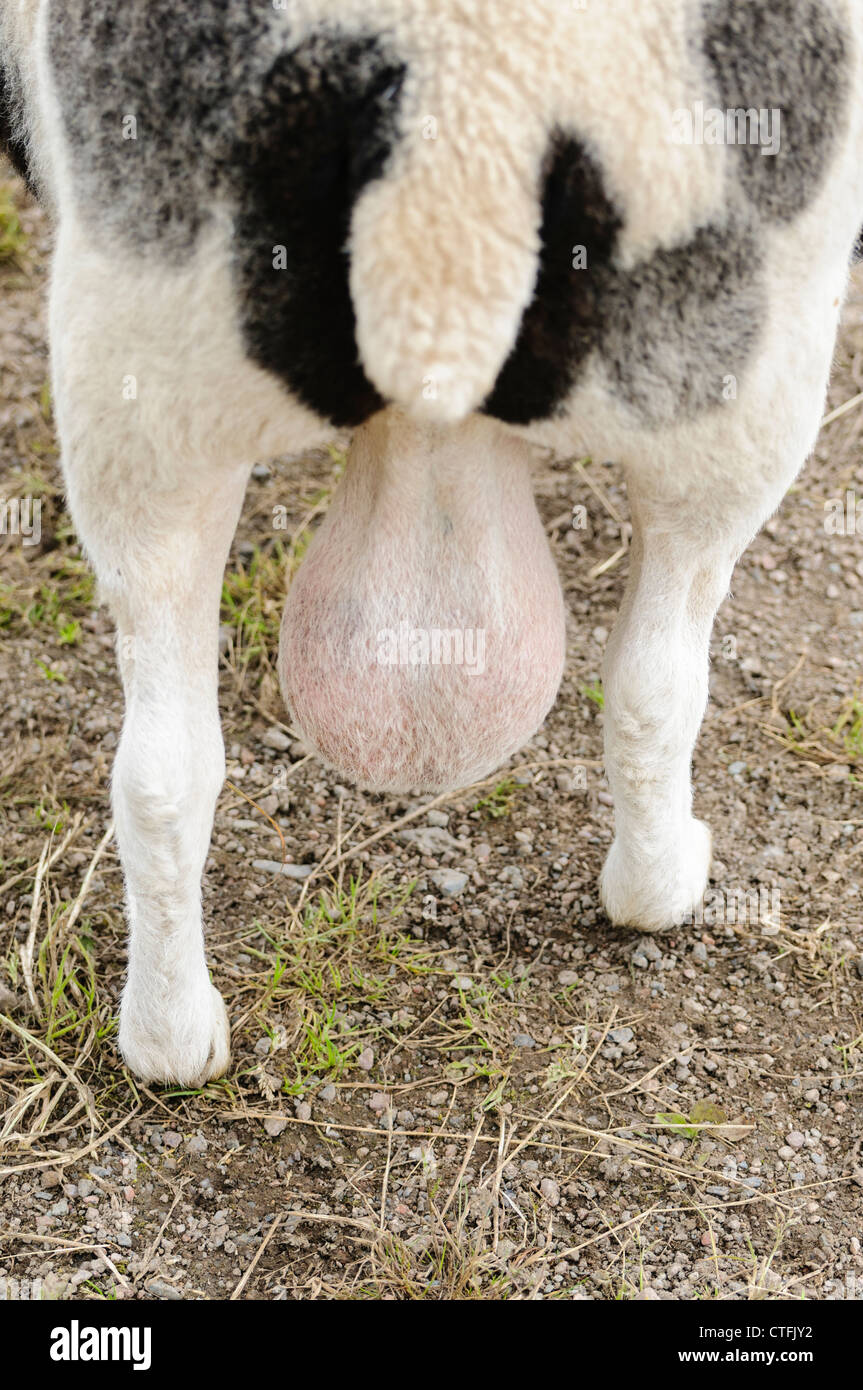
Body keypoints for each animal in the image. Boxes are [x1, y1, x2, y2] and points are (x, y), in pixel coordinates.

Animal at [2, 0, 861, 1084]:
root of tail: (451, 102)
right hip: (752, 358)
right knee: (658, 678)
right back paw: (667, 881)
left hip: (144, 383)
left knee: (160, 768)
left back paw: (171, 1041)